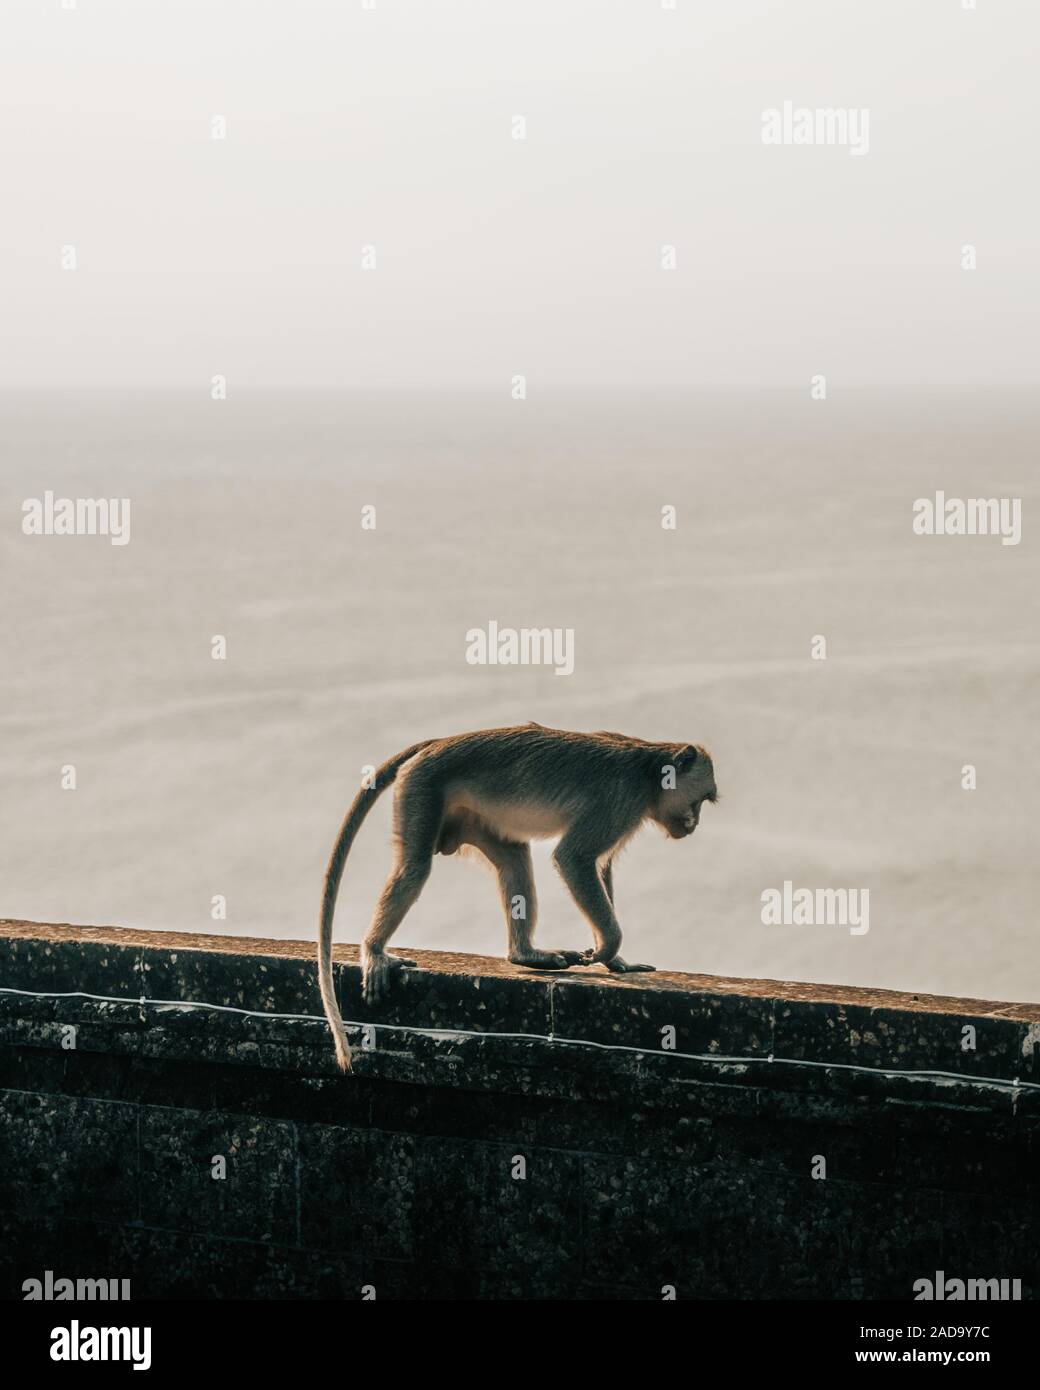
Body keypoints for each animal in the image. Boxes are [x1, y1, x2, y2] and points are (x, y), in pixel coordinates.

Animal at [317, 723, 717, 1071]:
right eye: (701, 800)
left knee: (513, 860)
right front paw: (607, 949)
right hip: (421, 787)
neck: (650, 771)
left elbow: (600, 867)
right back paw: (374, 950)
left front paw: (617, 961)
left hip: (471, 817)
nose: (694, 823)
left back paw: (525, 954)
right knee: (413, 869)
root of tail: (439, 742)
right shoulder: (622, 798)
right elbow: (575, 858)